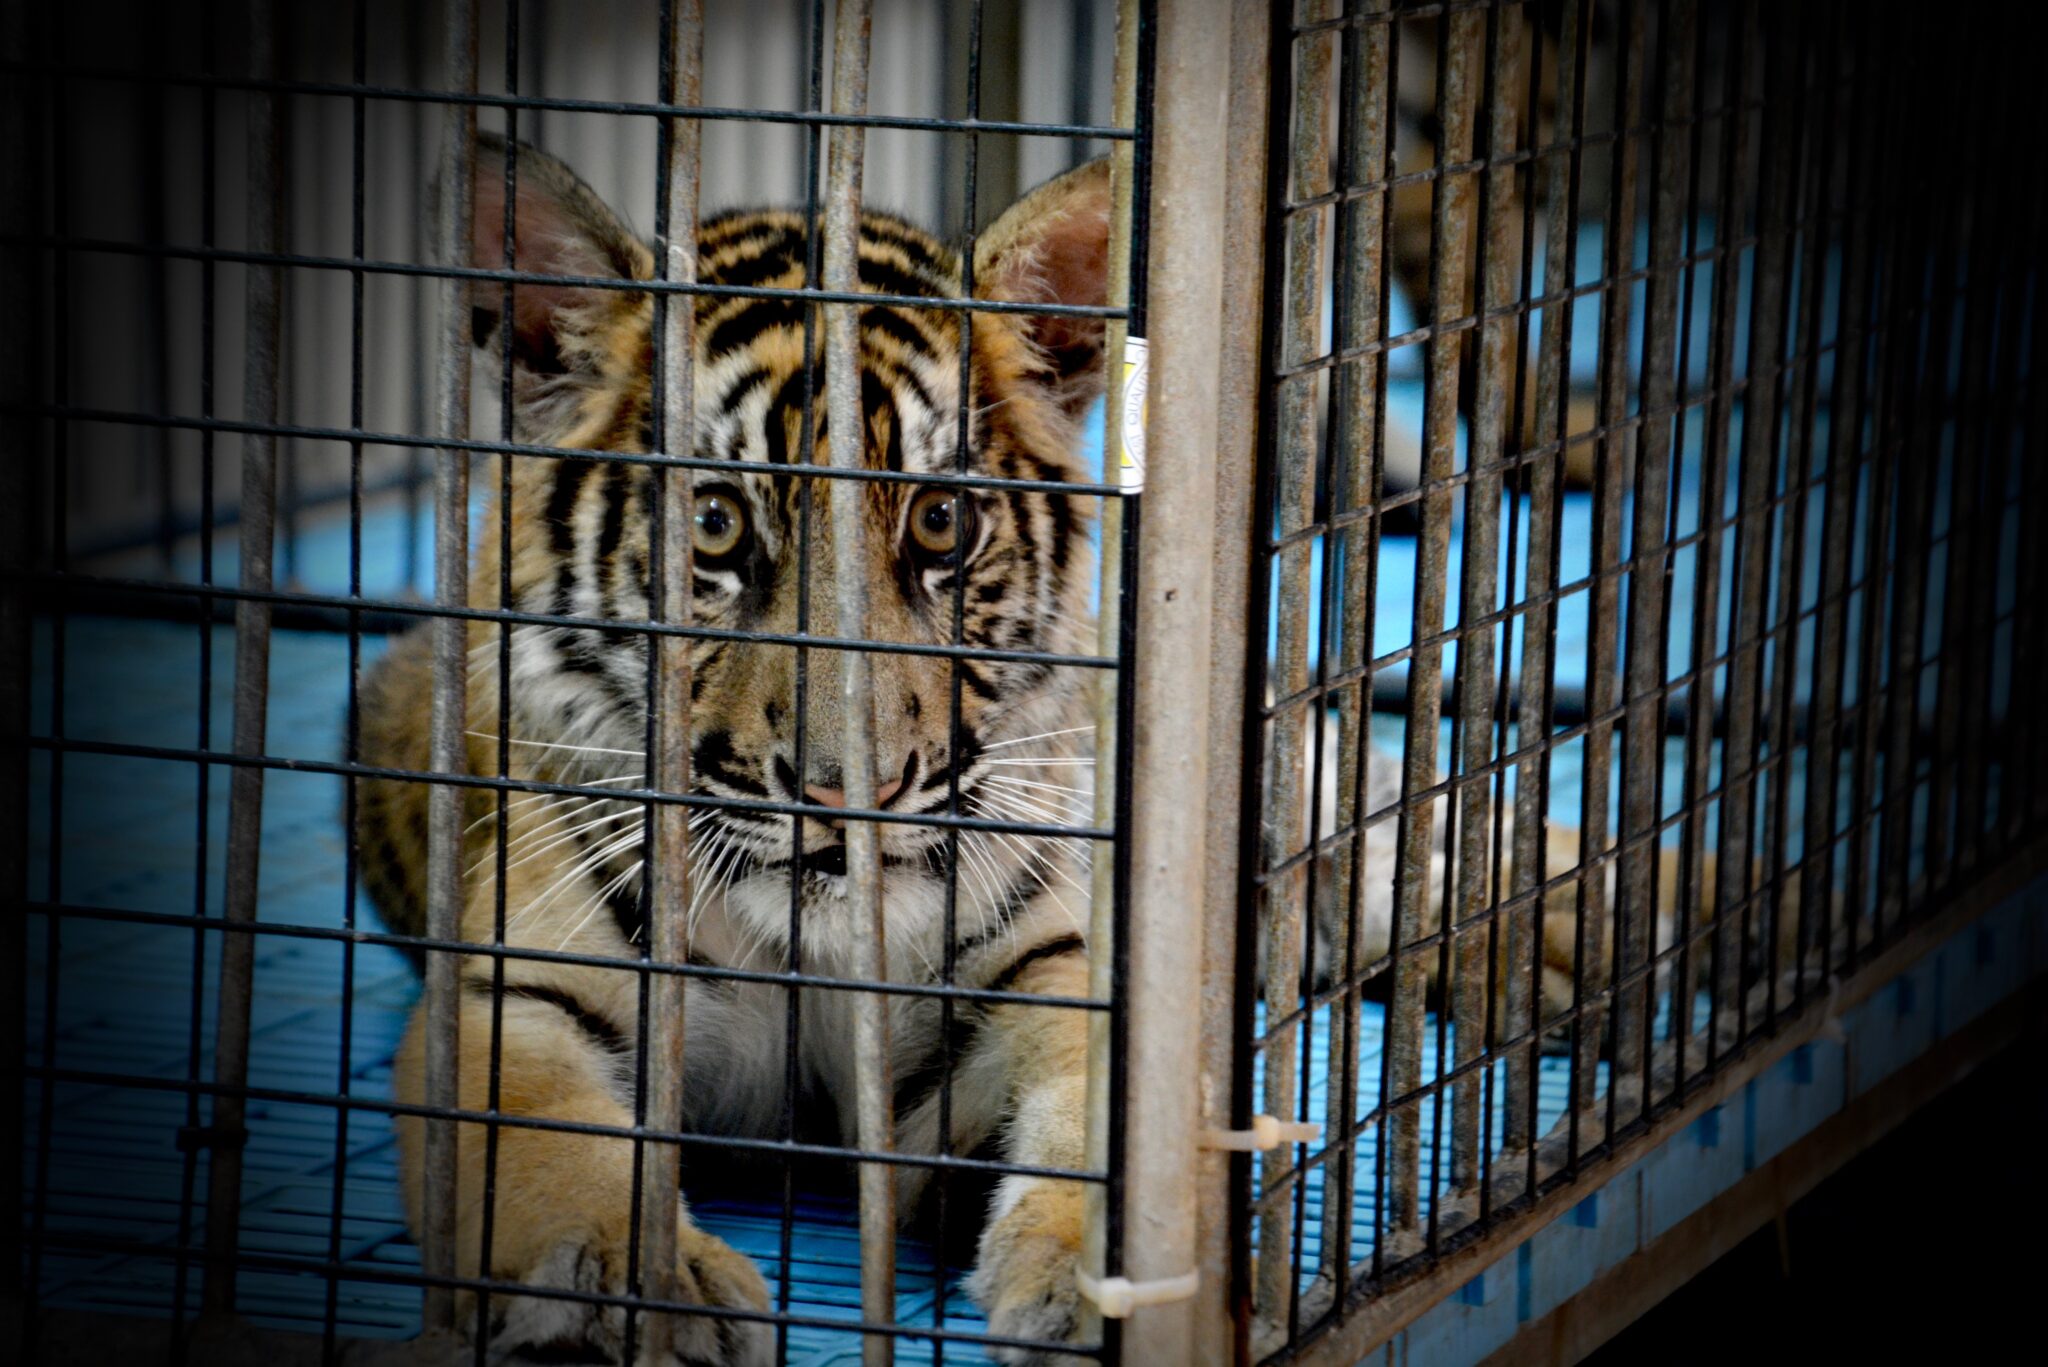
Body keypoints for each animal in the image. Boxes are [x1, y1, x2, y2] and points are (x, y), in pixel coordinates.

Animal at [356, 134, 1111, 1364]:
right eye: (714, 525)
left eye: (940, 521)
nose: (852, 793)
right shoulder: (514, 998)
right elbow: (548, 1143)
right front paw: (634, 1287)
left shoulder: (1049, 966)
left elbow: (1100, 1106)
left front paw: (1101, 1274)